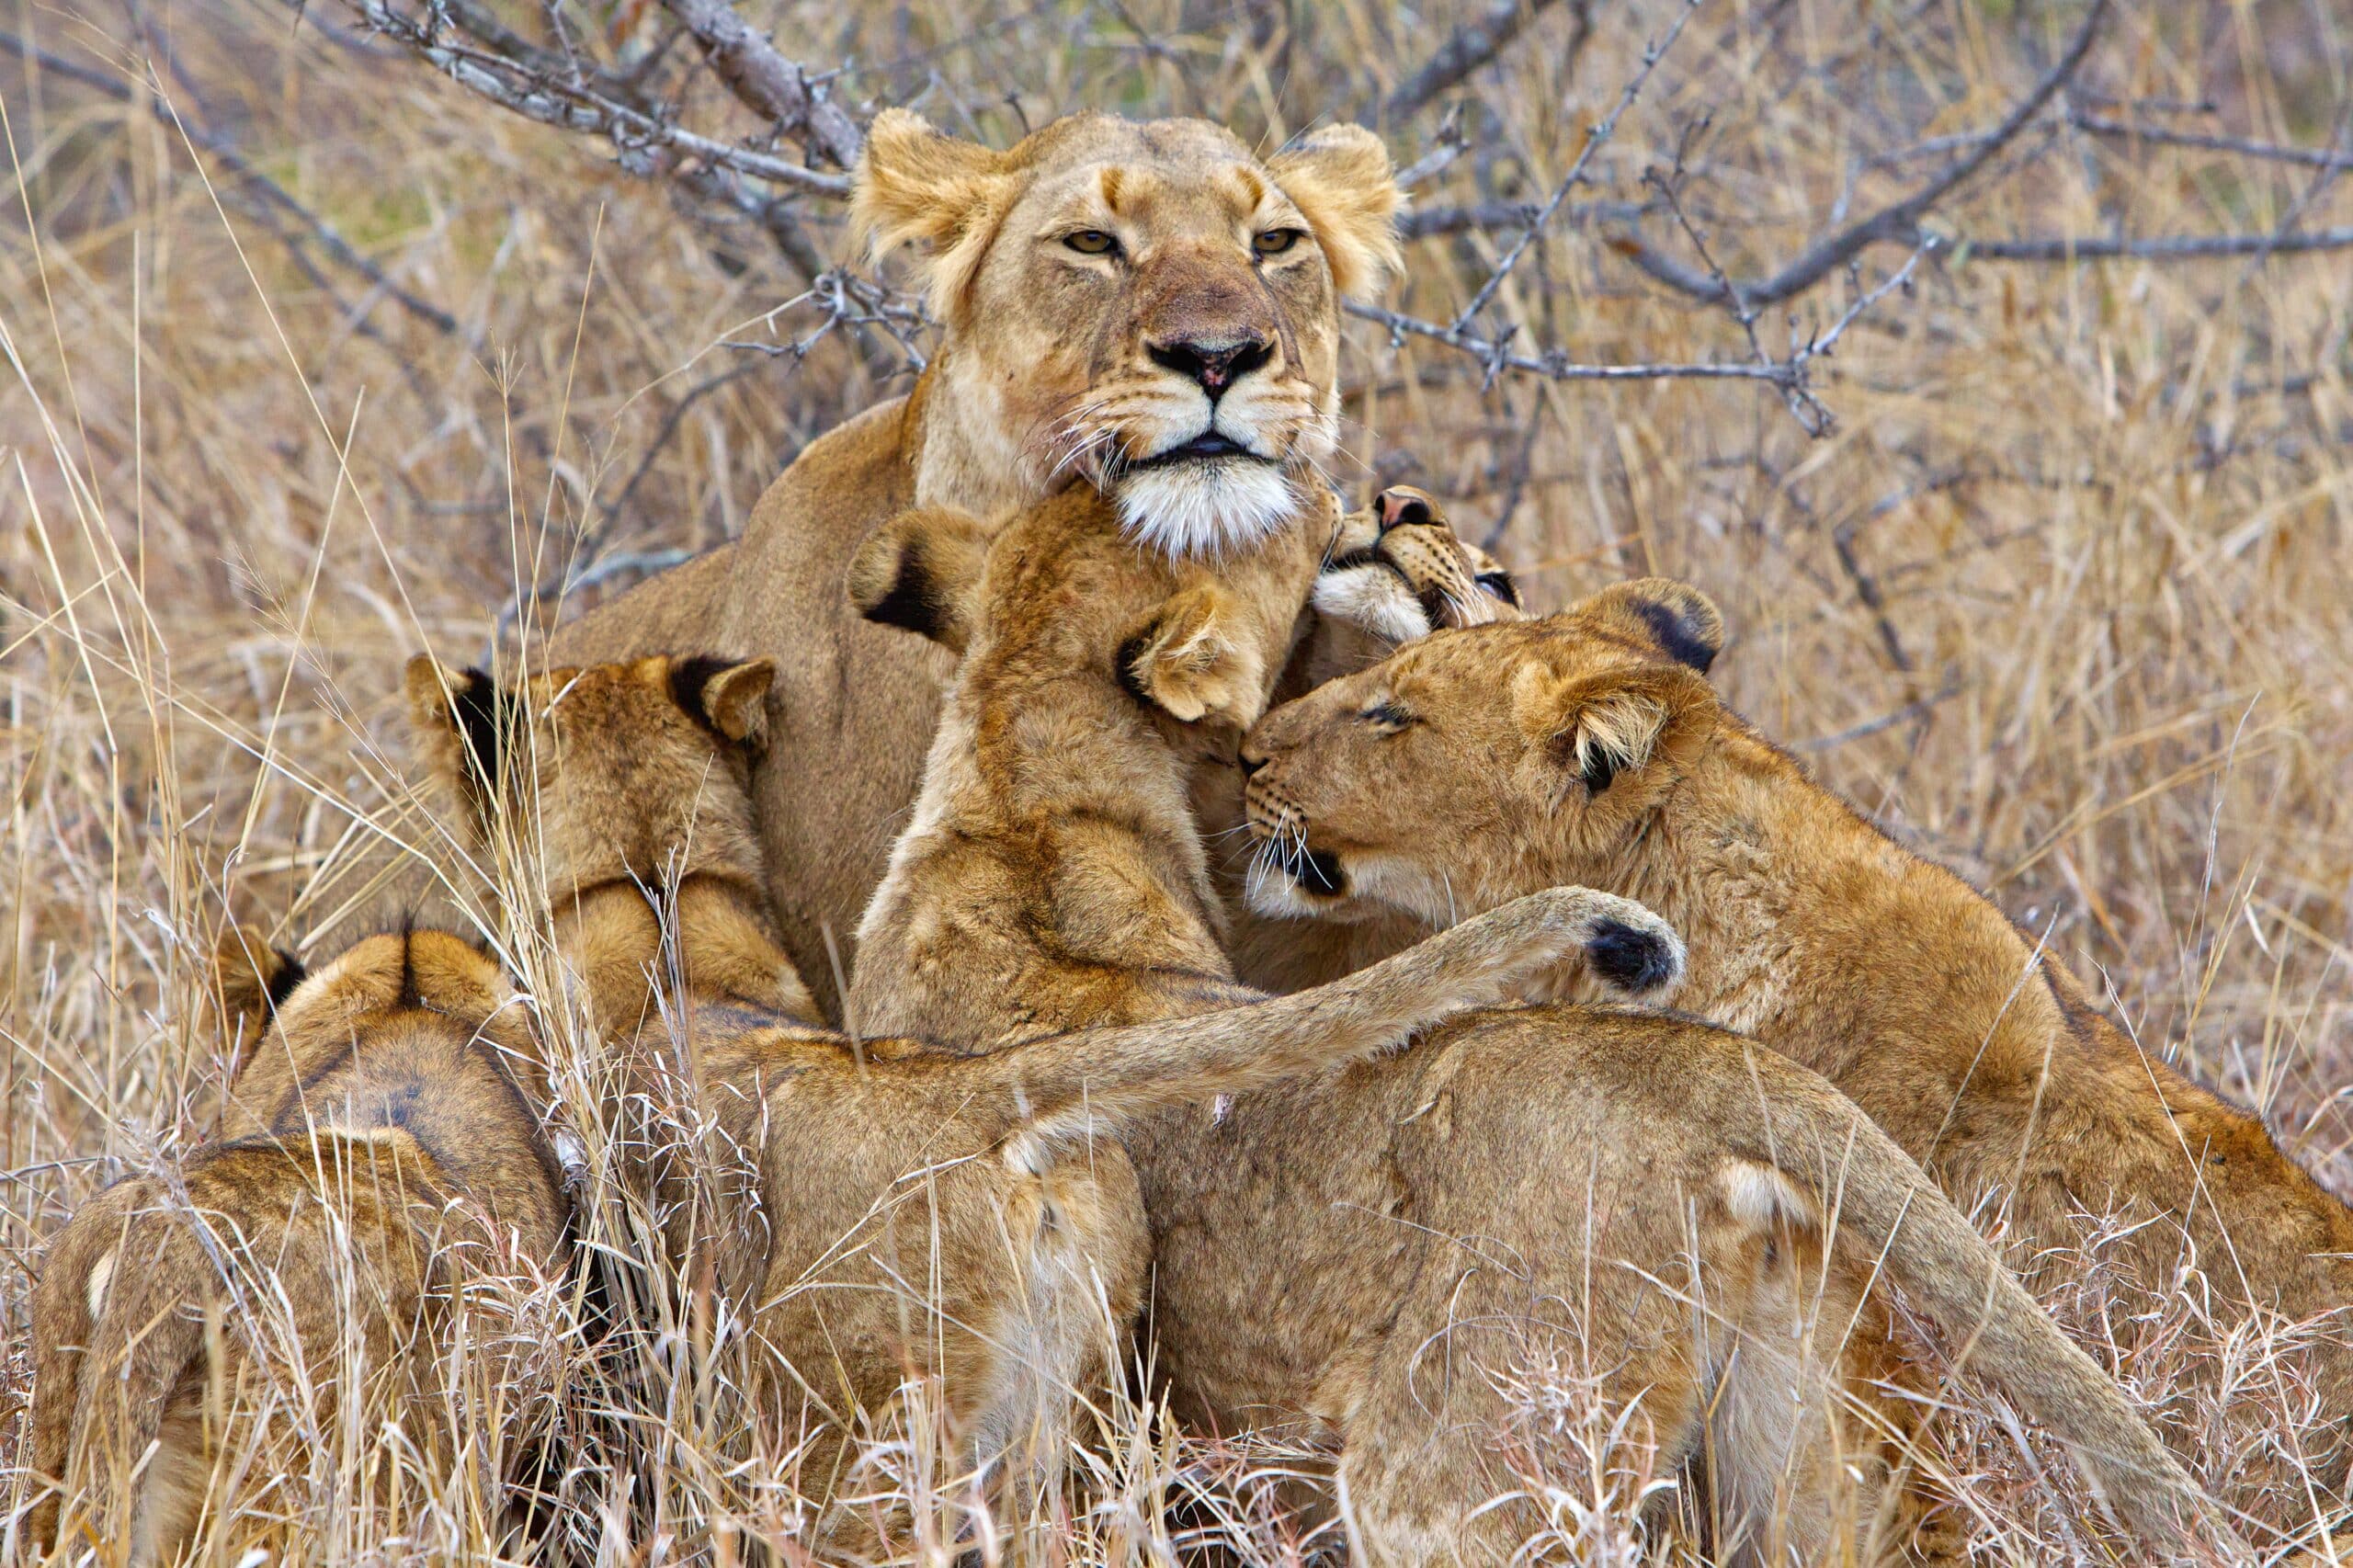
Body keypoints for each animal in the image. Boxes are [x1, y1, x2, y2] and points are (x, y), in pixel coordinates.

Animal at [842, 485, 2239, 1563]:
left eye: (1390, 713)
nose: (1250, 760)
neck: (1021, 816)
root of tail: (1695, 1070)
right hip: (1798, 1444)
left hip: (1460, 1466)